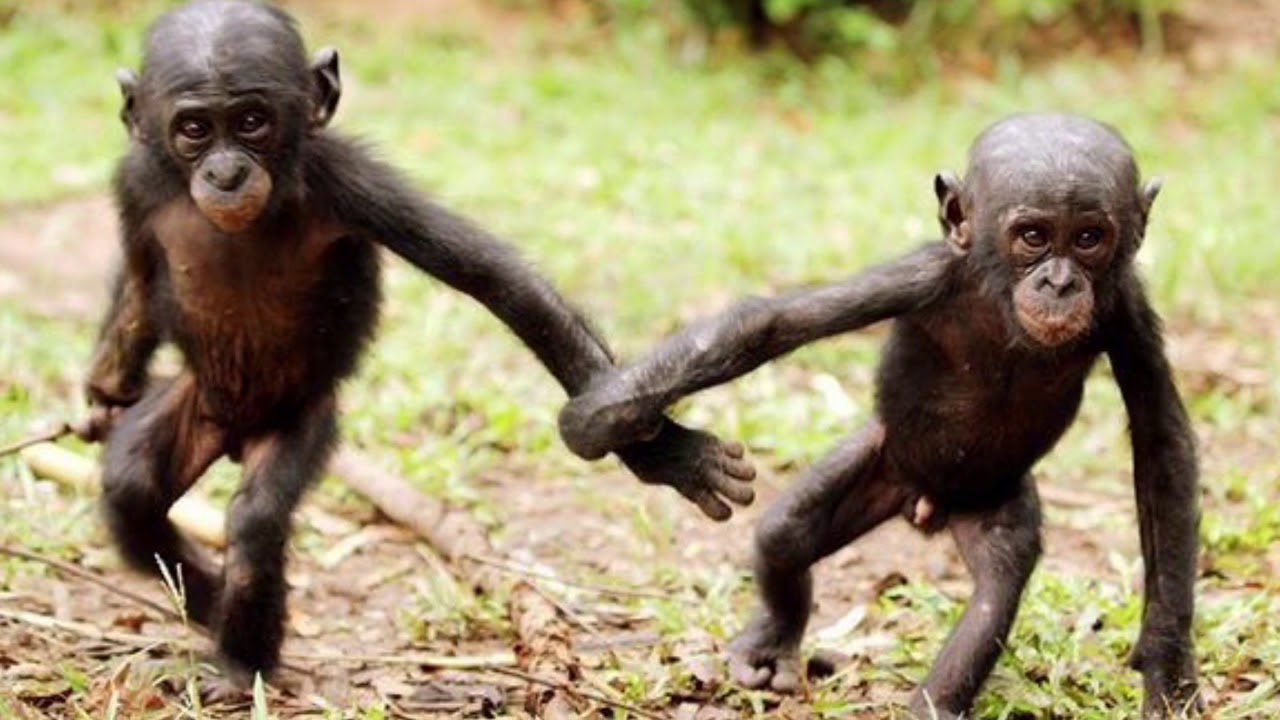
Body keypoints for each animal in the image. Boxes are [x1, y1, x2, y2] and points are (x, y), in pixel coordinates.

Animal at [85, 0, 755, 694]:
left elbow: (499, 282)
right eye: (193, 129)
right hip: (200, 403)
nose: (224, 171)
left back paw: (242, 661)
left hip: (302, 416)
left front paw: (664, 454)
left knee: (256, 521)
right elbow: (140, 280)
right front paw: (106, 391)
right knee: (132, 490)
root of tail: (237, 434)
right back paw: (207, 598)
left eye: (250, 122)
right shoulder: (135, 182)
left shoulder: (353, 184)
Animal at [558, 113, 1200, 718]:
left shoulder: (1127, 309)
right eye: (1034, 236)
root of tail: (926, 507)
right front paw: (605, 416)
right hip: (882, 460)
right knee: (784, 534)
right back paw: (772, 645)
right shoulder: (920, 277)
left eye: (1089, 237)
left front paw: (1167, 669)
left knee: (993, 598)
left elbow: (1161, 445)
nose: (1061, 281)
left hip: (993, 500)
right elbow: (770, 326)